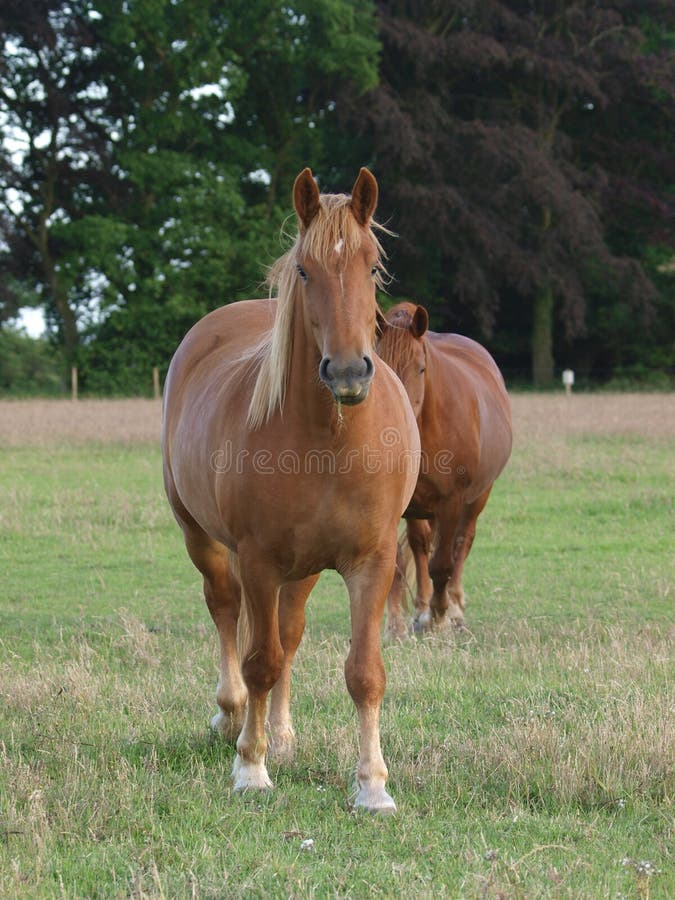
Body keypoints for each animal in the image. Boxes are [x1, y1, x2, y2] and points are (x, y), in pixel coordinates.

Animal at [161, 168, 420, 812]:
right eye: (304, 271)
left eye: (373, 266)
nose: (348, 372)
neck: (330, 438)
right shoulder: (257, 559)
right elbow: (260, 660)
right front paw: (249, 768)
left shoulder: (372, 561)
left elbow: (363, 672)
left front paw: (372, 784)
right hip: (202, 538)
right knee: (229, 614)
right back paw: (232, 719)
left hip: (301, 570)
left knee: (290, 632)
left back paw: (279, 735)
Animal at [376, 302, 512, 639]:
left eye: (421, 368)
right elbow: (399, 561)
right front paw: (397, 624)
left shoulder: (452, 502)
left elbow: (442, 564)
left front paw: (440, 615)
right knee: (422, 545)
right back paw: (422, 608)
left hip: (477, 498)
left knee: (462, 543)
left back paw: (454, 607)